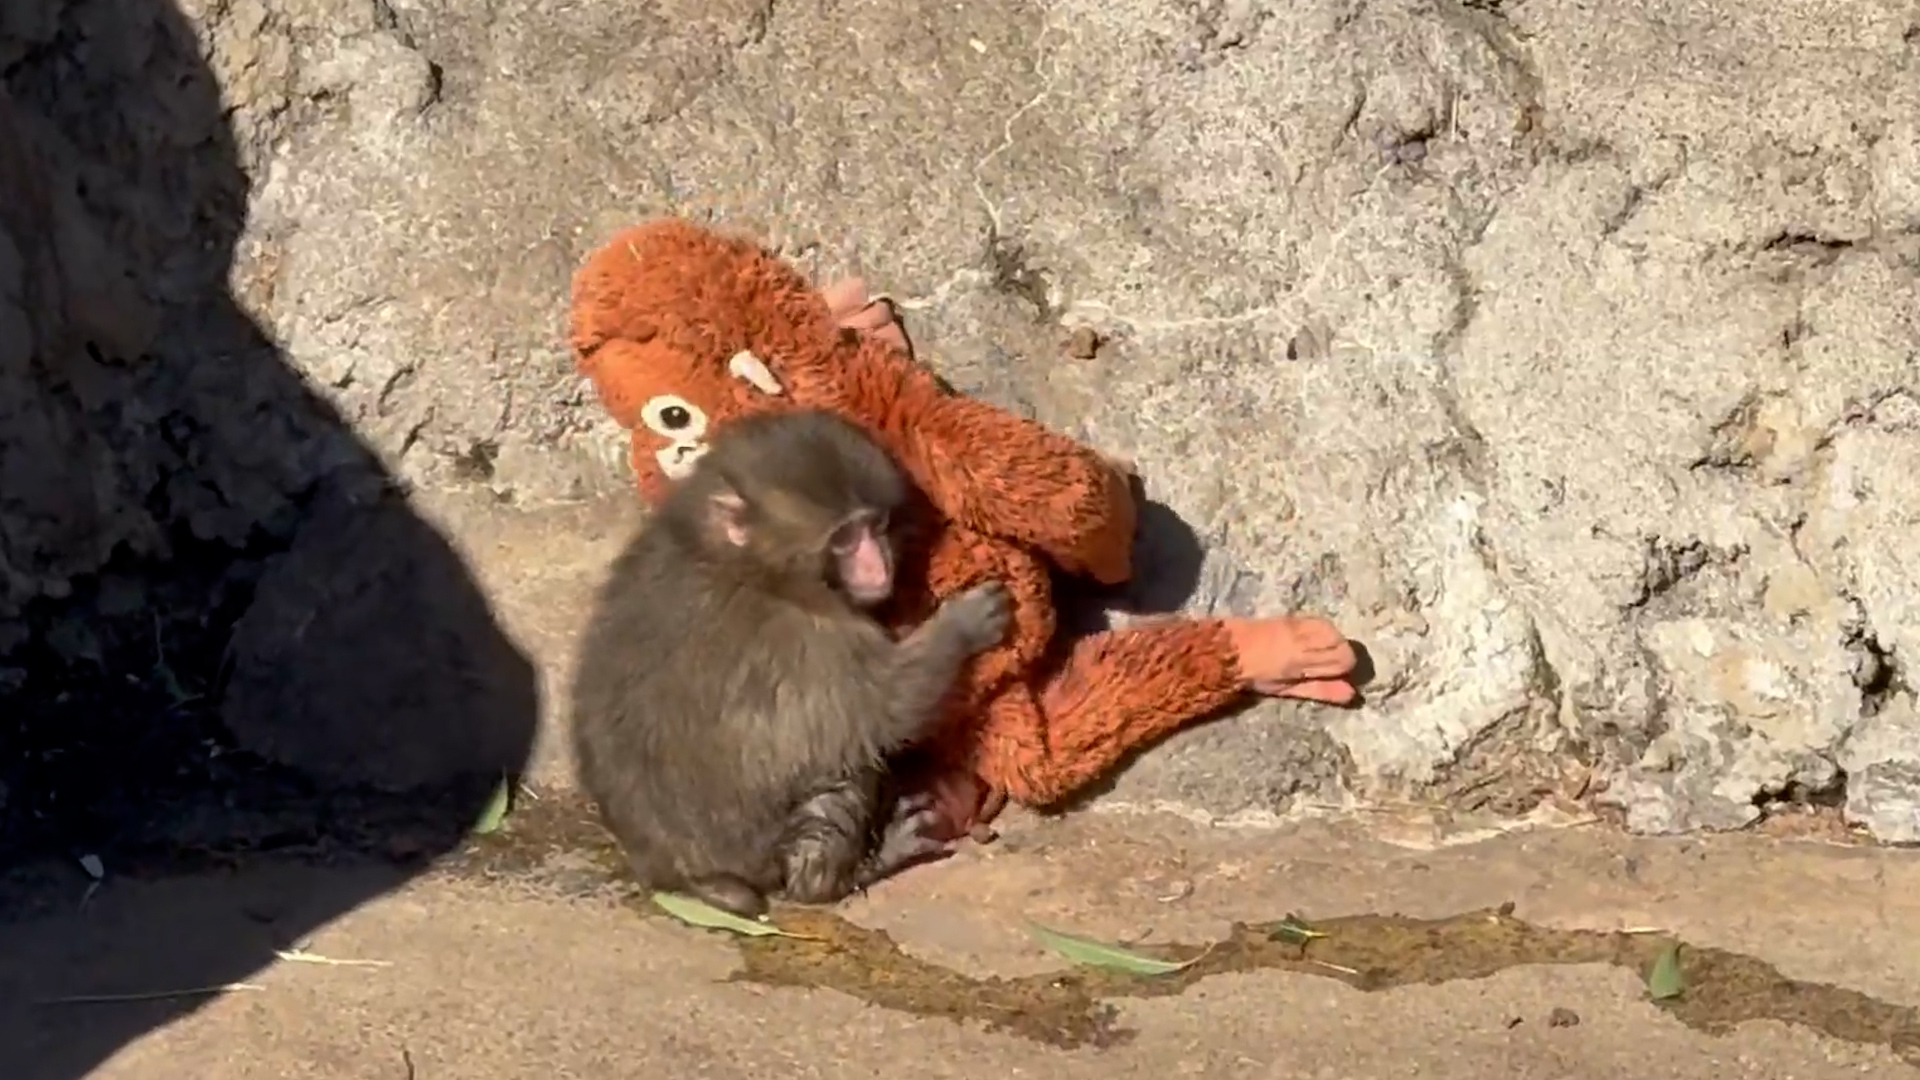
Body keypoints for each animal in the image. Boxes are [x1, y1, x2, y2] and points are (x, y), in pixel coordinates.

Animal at [569, 408, 1011, 919]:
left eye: (875, 525)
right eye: (844, 538)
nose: (879, 567)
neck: (748, 565)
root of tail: (676, 875)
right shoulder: (814, 638)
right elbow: (887, 706)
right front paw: (962, 624)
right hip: (761, 850)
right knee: (841, 773)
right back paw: (842, 875)